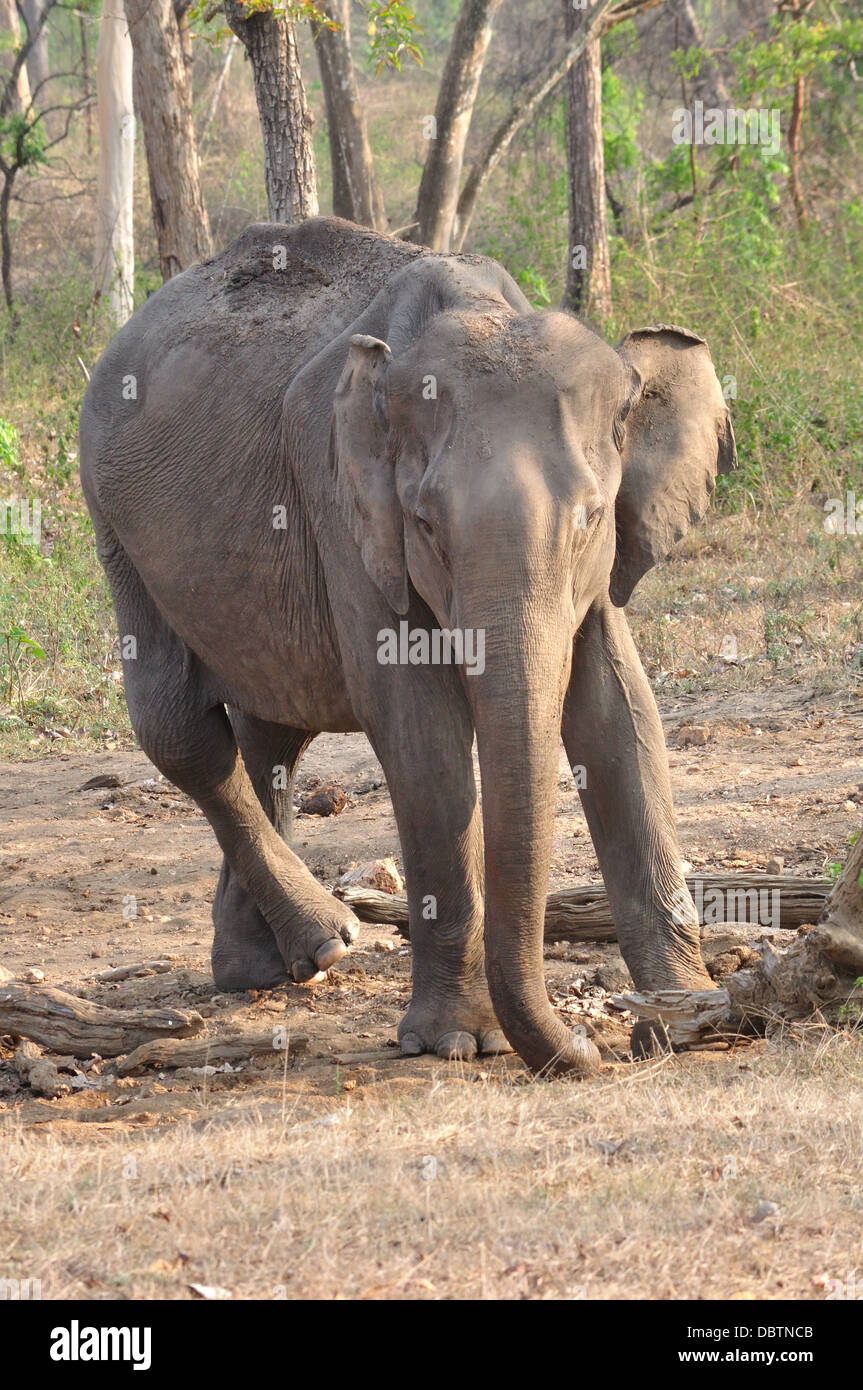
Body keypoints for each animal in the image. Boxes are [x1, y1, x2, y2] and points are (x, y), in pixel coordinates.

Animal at [79, 217, 735, 1077]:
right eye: (425, 524)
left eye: (590, 518)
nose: (595, 1046)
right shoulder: (345, 508)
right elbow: (420, 735)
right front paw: (457, 1042)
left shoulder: (597, 578)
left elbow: (619, 715)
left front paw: (687, 1015)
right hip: (114, 525)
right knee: (180, 729)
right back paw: (329, 940)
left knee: (268, 732)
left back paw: (268, 967)